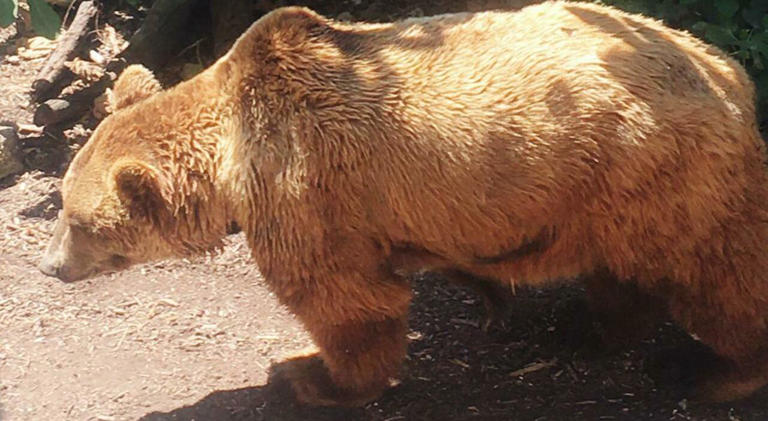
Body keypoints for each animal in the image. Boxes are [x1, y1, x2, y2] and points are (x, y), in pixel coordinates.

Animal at [39, 1, 768, 406]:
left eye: (78, 221)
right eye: (61, 204)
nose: (50, 266)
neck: (232, 151)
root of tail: (729, 73)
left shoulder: (304, 186)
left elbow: (346, 298)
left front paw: (311, 377)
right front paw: (488, 297)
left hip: (662, 172)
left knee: (716, 273)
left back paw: (715, 370)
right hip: (611, 192)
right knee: (627, 270)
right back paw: (586, 328)